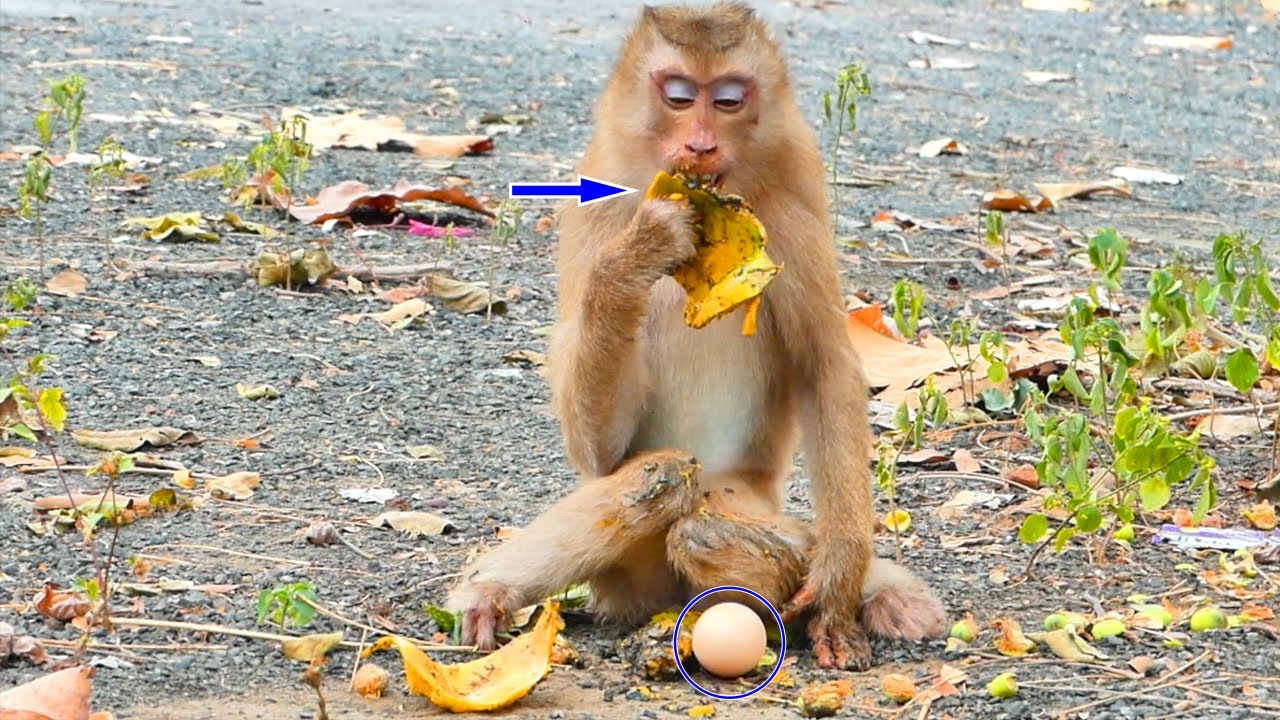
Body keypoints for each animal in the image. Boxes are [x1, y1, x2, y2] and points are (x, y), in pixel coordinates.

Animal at [446, 1, 946, 670]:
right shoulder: (595, 203)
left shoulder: (792, 207)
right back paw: (493, 593)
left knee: (699, 519)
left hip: (752, 508)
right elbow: (597, 451)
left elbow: (824, 366)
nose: (701, 143)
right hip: (626, 582)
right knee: (650, 478)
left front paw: (840, 578)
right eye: (680, 96)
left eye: (729, 100)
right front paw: (637, 256)